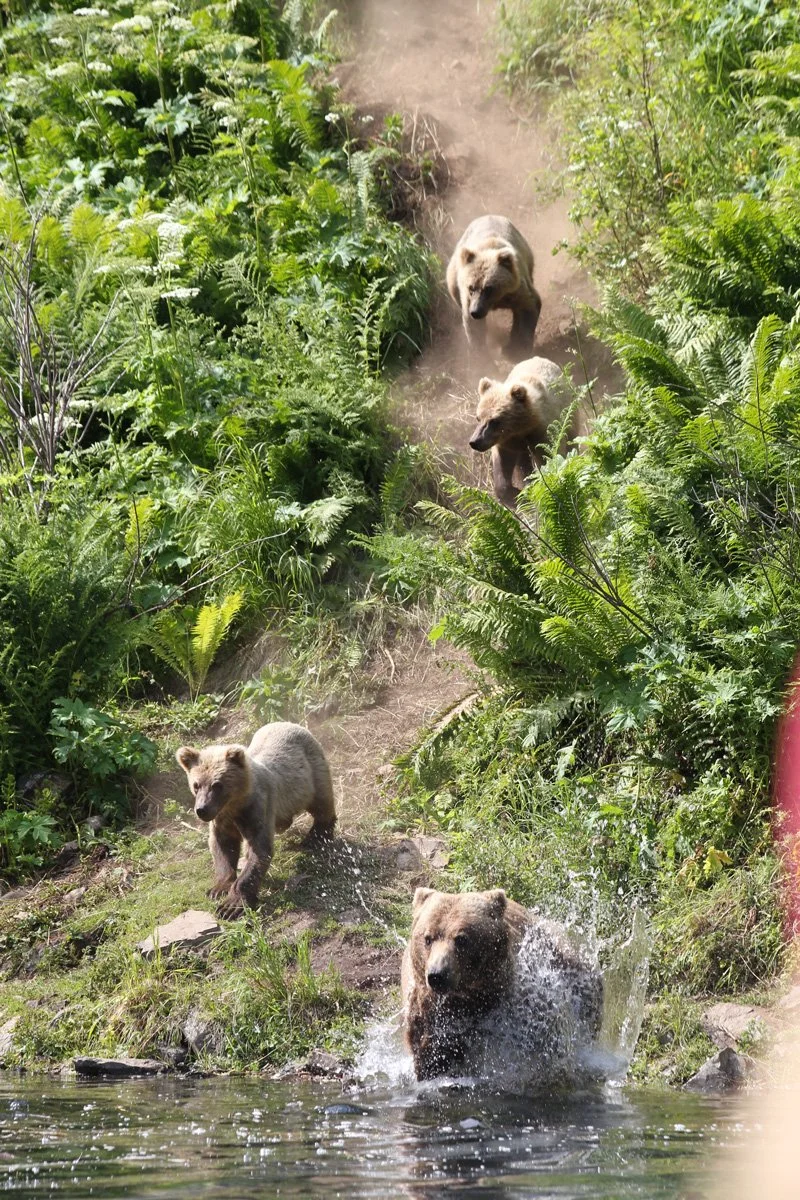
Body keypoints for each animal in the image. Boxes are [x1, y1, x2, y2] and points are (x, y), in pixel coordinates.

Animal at [175, 722, 336, 920]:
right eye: (196, 785)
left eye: (217, 785)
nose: (202, 810)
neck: (235, 805)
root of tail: (291, 724)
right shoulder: (223, 819)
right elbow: (222, 847)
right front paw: (218, 888)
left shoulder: (256, 809)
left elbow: (258, 849)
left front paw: (231, 906)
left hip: (311, 773)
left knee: (322, 802)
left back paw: (317, 836)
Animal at [446, 215, 542, 358]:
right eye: (471, 287)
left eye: (488, 288)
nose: (476, 312)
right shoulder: (468, 299)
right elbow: (474, 328)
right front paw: (483, 357)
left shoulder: (517, 290)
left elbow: (529, 307)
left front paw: (519, 348)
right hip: (454, 275)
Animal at [469, 355, 574, 509]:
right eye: (478, 418)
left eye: (494, 420)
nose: (474, 441)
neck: (521, 429)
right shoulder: (506, 442)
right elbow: (502, 464)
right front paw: (514, 493)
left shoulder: (541, 434)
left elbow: (548, 458)